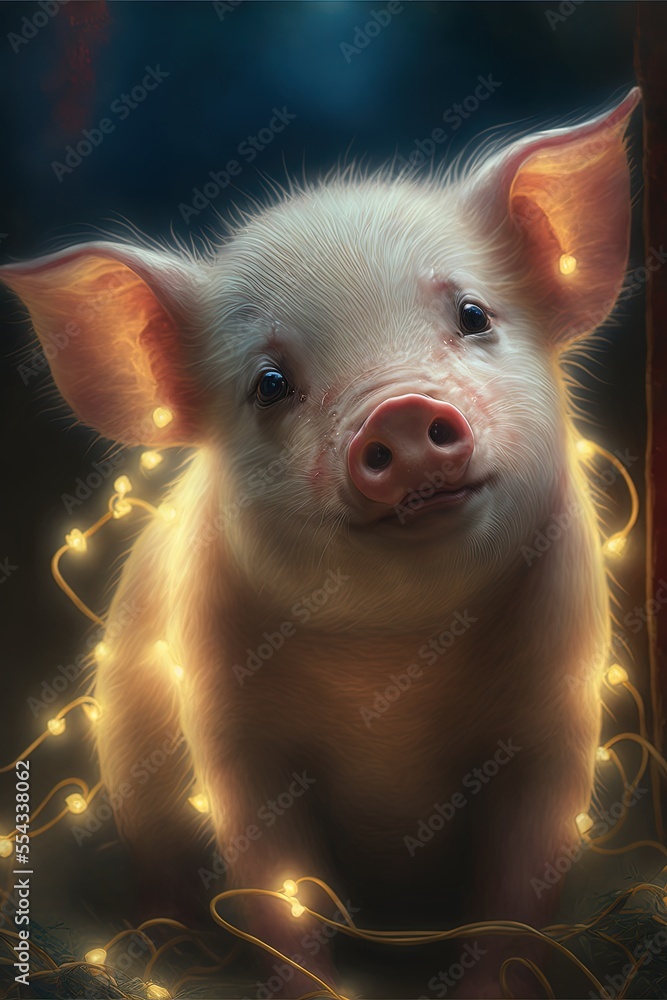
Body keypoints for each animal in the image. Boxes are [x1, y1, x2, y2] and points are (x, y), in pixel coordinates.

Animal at [1, 87, 640, 999]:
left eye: (471, 314)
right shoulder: (235, 734)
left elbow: (517, 891)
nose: (398, 412)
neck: (390, 666)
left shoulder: (558, 711)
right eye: (269, 384)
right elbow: (276, 890)